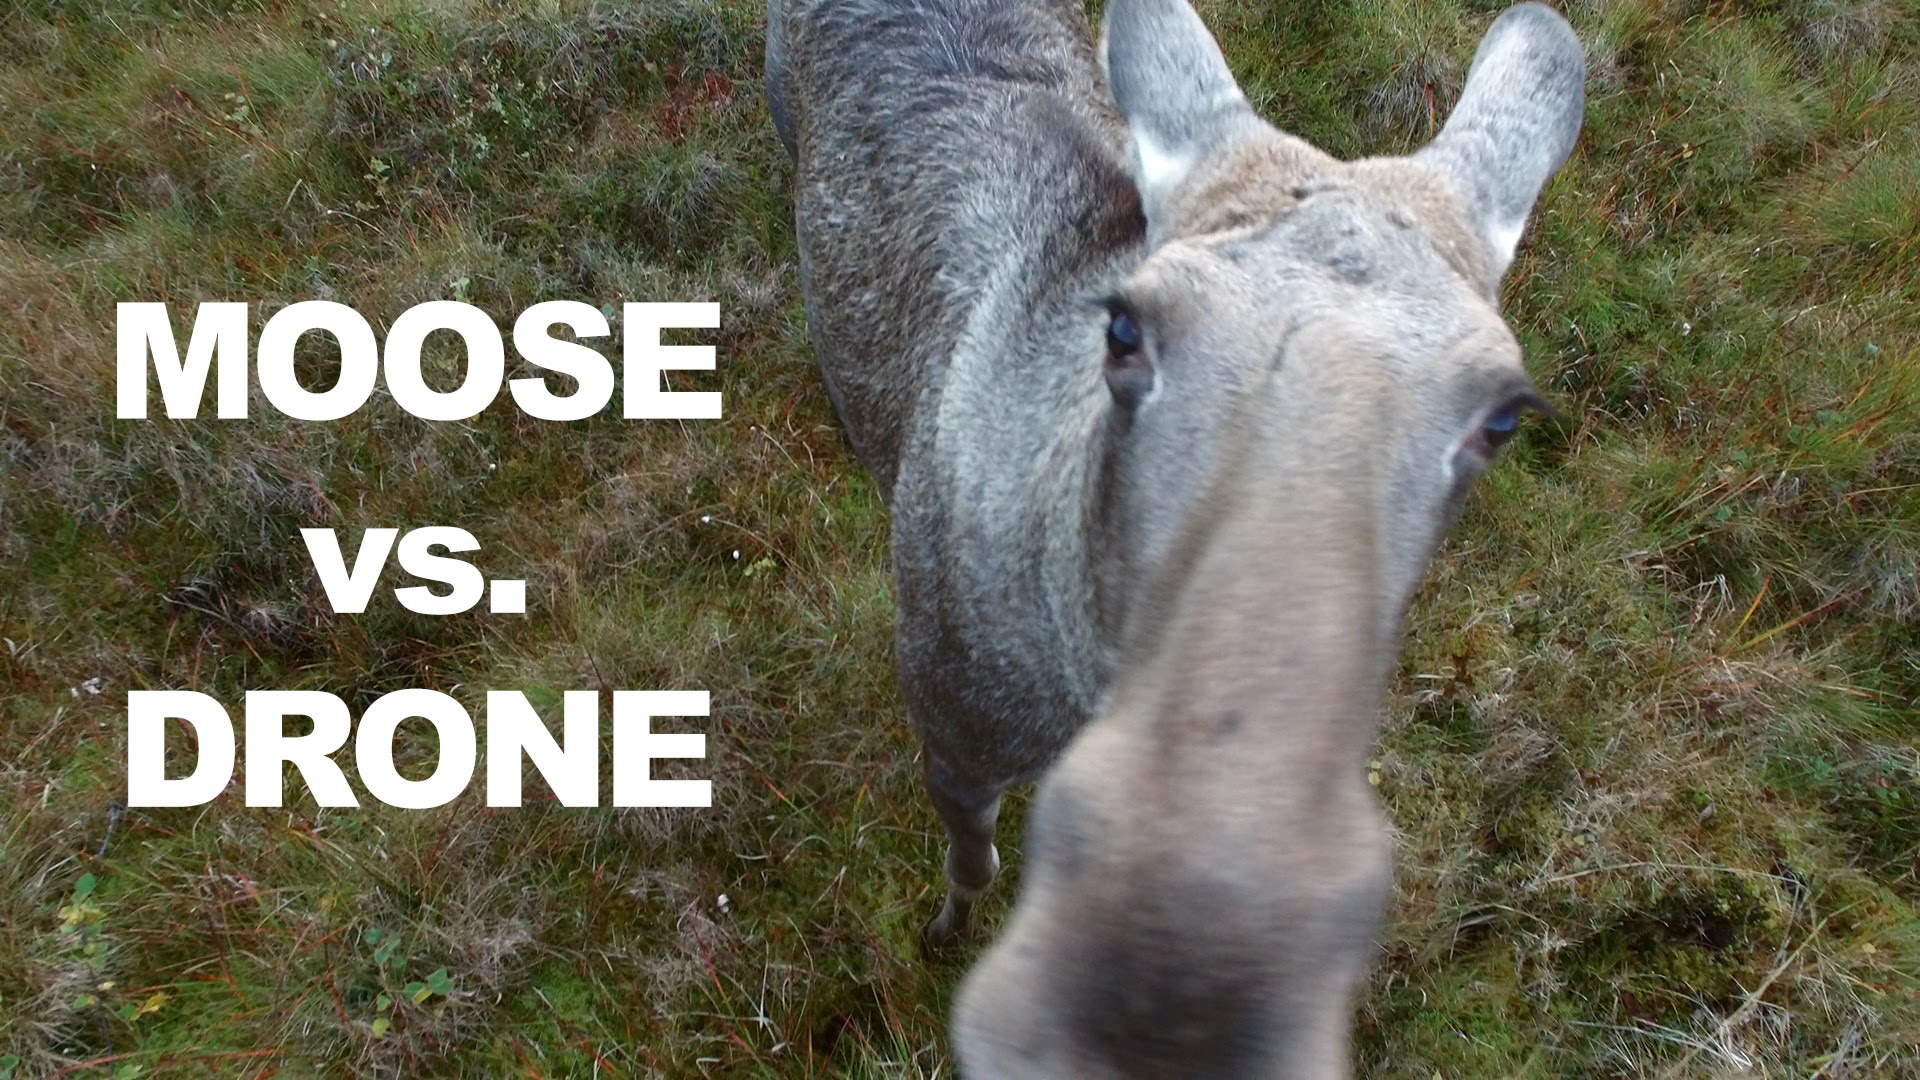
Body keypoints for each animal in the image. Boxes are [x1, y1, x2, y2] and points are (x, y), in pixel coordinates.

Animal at [767, 0, 1584, 1071]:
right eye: (1124, 329)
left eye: (1505, 419)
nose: (1176, 989)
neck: (1074, 670)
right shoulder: (953, 737)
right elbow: (971, 870)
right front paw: (942, 933)